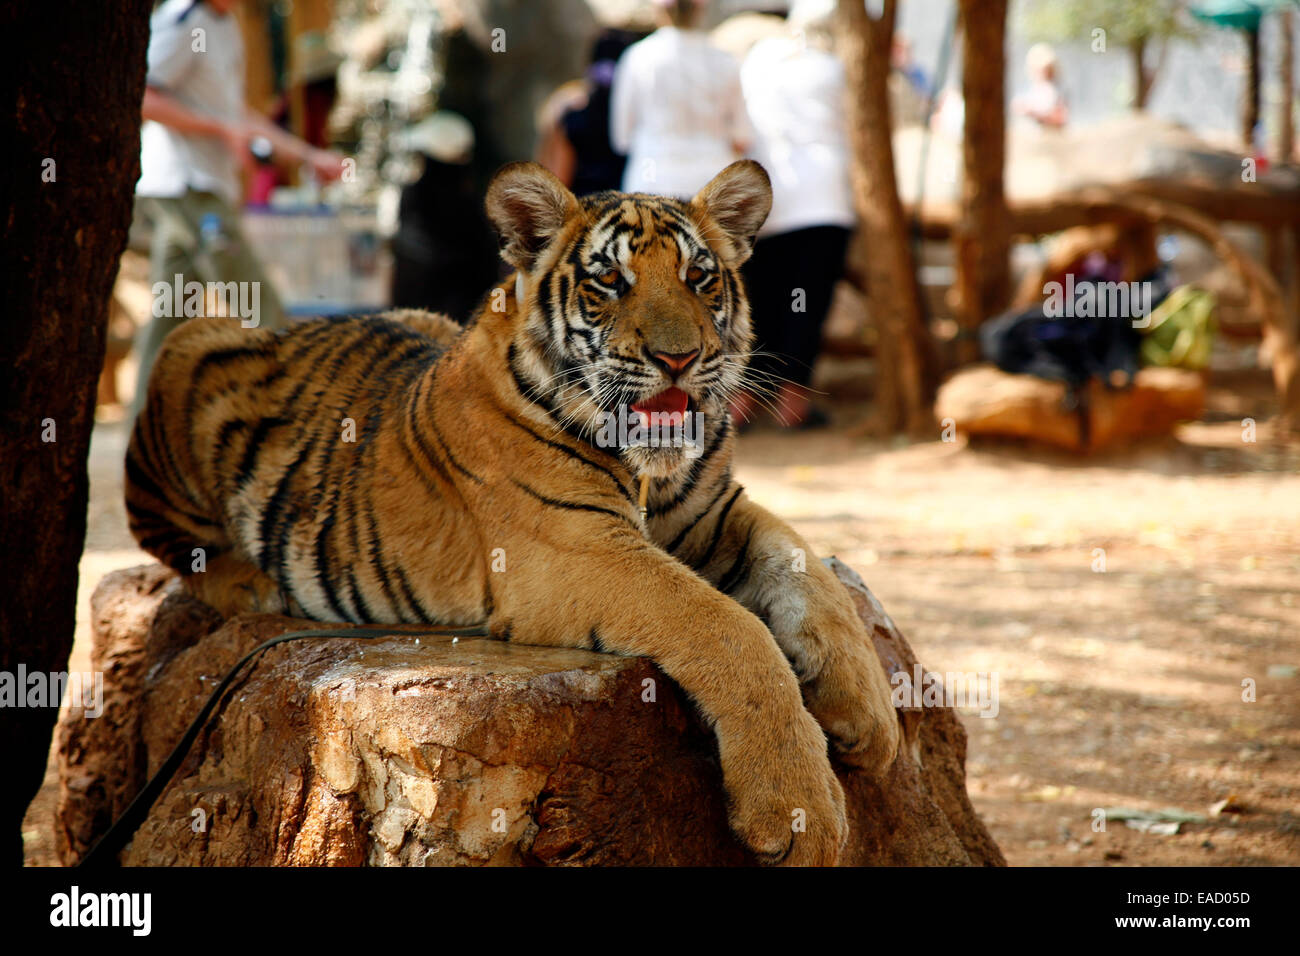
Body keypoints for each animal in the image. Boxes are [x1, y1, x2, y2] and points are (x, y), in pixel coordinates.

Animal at [125, 160, 900, 866]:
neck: (650, 475)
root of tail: (290, 331)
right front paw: (798, 809)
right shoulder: (575, 547)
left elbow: (810, 574)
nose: (677, 359)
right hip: (191, 348)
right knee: (168, 540)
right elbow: (729, 629)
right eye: (610, 281)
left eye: (699, 277)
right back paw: (252, 584)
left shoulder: (716, 515)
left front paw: (870, 717)